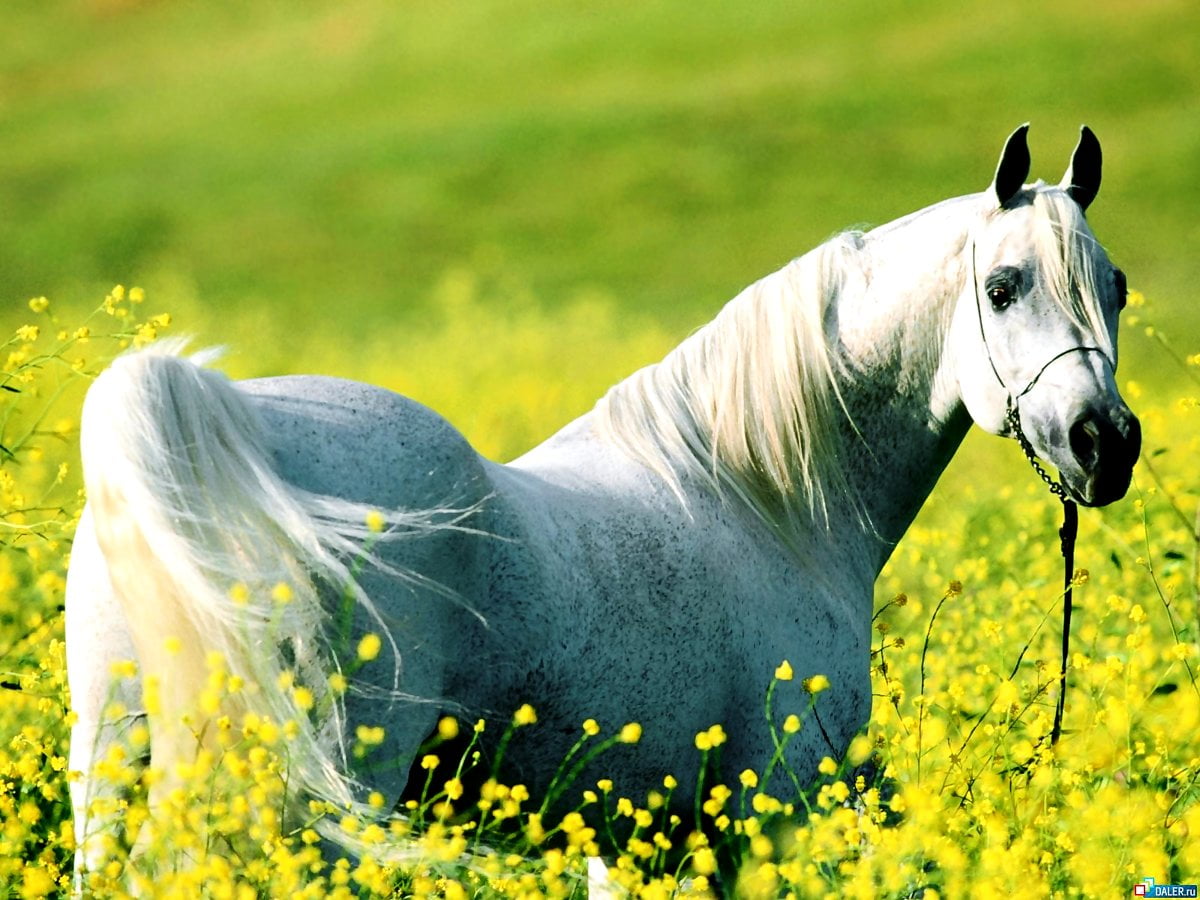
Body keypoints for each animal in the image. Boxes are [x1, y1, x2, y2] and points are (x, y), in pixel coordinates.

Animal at [65, 124, 1140, 878]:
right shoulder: (774, 813)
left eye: (1118, 287)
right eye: (1002, 287)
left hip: (115, 771)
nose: (1108, 442)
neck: (764, 501)